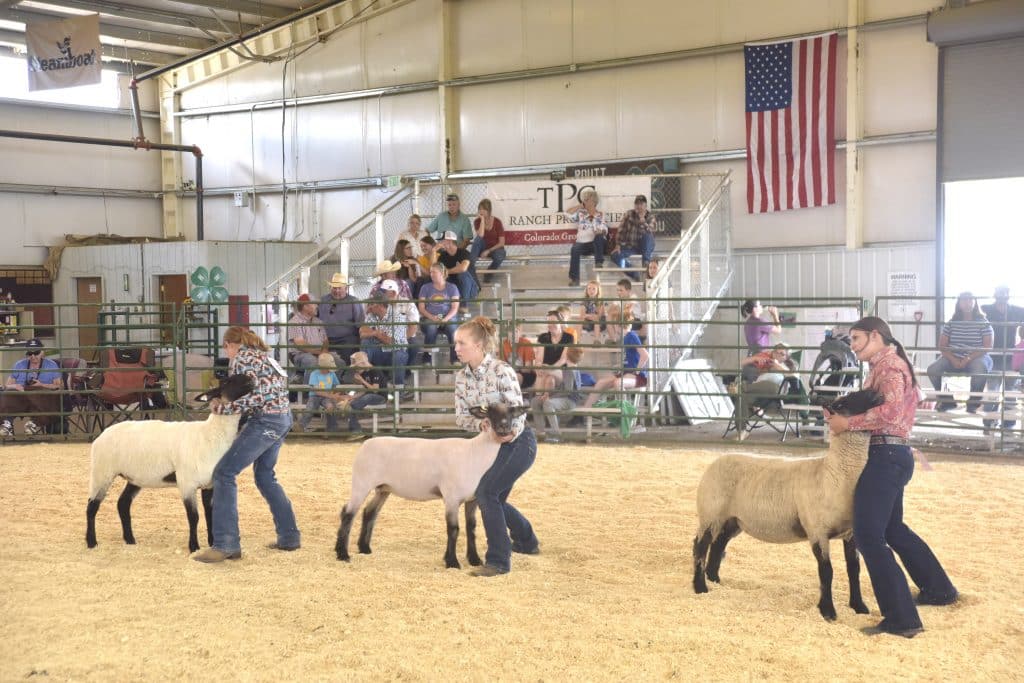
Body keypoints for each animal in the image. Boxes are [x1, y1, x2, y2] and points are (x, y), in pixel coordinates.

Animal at [85, 374, 254, 553]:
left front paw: (212, 543)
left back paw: (130, 539)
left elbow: (210, 514)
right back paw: (91, 542)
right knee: (92, 507)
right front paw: (194, 546)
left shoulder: (209, 484)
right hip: (102, 473)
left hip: (134, 478)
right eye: (228, 381)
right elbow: (194, 517)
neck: (211, 434)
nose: (250, 377)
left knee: (123, 504)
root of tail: (102, 434)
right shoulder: (187, 483)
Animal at [335, 403, 530, 569]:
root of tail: (366, 444)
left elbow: (471, 528)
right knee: (348, 514)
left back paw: (364, 548)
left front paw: (474, 559)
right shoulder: (451, 497)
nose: (504, 428)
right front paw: (452, 562)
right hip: (361, 483)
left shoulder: (472, 499)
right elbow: (454, 529)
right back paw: (342, 554)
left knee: (369, 512)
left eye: (511, 412)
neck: (475, 453)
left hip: (383, 488)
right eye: (490, 412)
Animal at [692, 389, 885, 621]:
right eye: (843, 402)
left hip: (732, 520)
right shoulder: (817, 531)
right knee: (700, 546)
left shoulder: (850, 533)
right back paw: (700, 587)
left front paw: (859, 607)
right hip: (711, 513)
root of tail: (713, 464)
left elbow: (854, 569)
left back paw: (715, 581)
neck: (833, 475)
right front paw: (828, 611)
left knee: (718, 544)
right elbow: (826, 572)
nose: (876, 392)